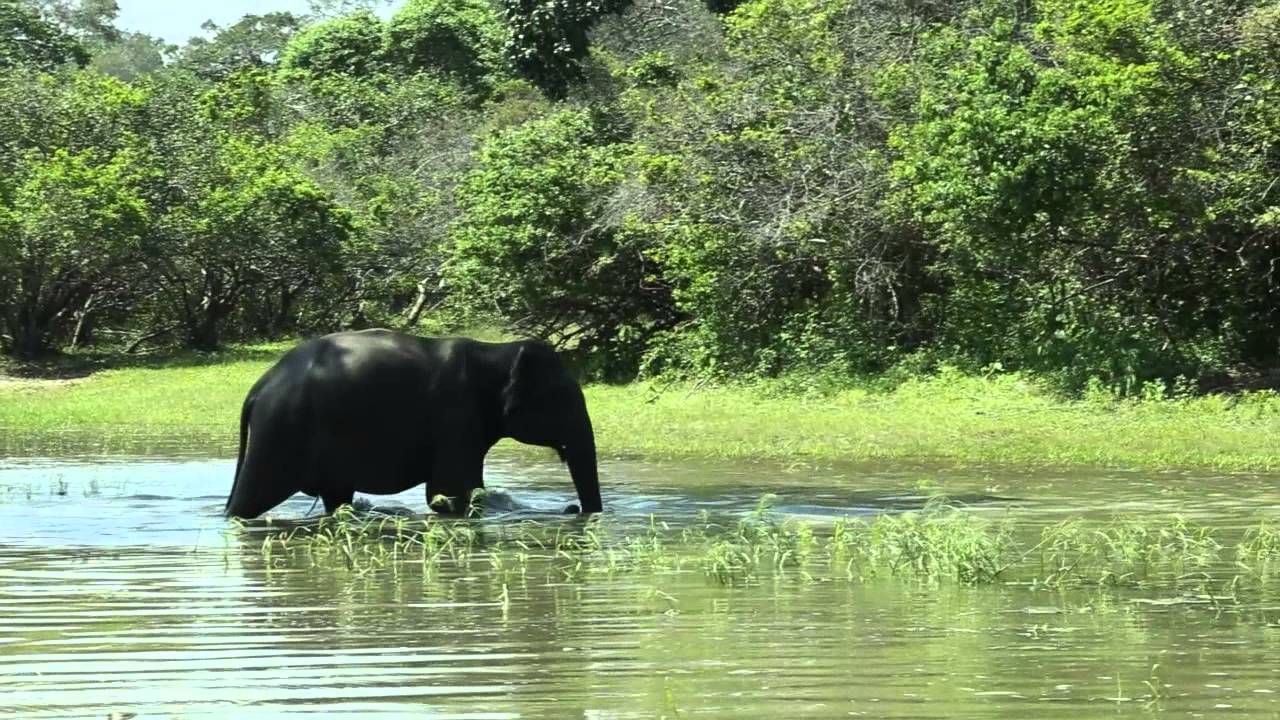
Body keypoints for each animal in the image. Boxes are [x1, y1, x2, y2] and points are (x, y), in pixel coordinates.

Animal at [223, 329, 602, 519]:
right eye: (562, 399)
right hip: (280, 431)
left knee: (336, 496)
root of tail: (256, 391)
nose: (574, 509)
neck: (495, 352)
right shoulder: (456, 415)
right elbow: (453, 490)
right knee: (250, 499)